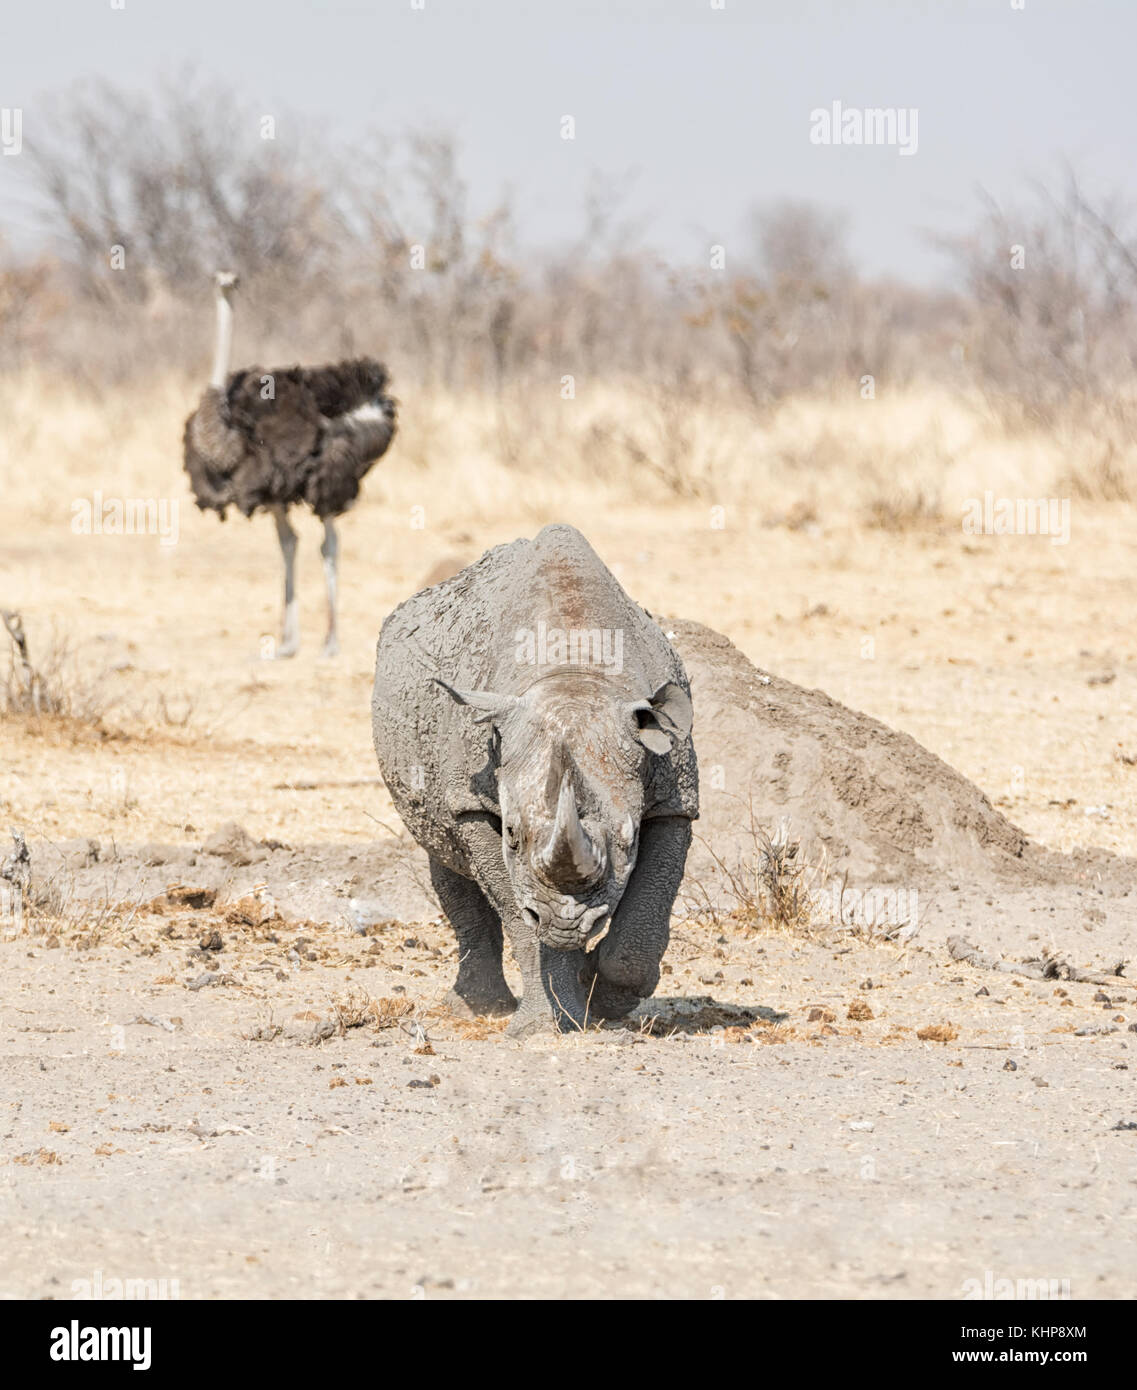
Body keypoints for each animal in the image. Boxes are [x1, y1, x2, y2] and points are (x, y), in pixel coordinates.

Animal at [371, 523, 698, 1035]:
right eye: (510, 834)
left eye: (629, 841)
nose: (567, 926)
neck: (574, 676)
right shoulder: (474, 798)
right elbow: (519, 916)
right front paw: (548, 1024)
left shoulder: (674, 800)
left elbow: (642, 926)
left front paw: (600, 996)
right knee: (445, 858)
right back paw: (478, 1009)